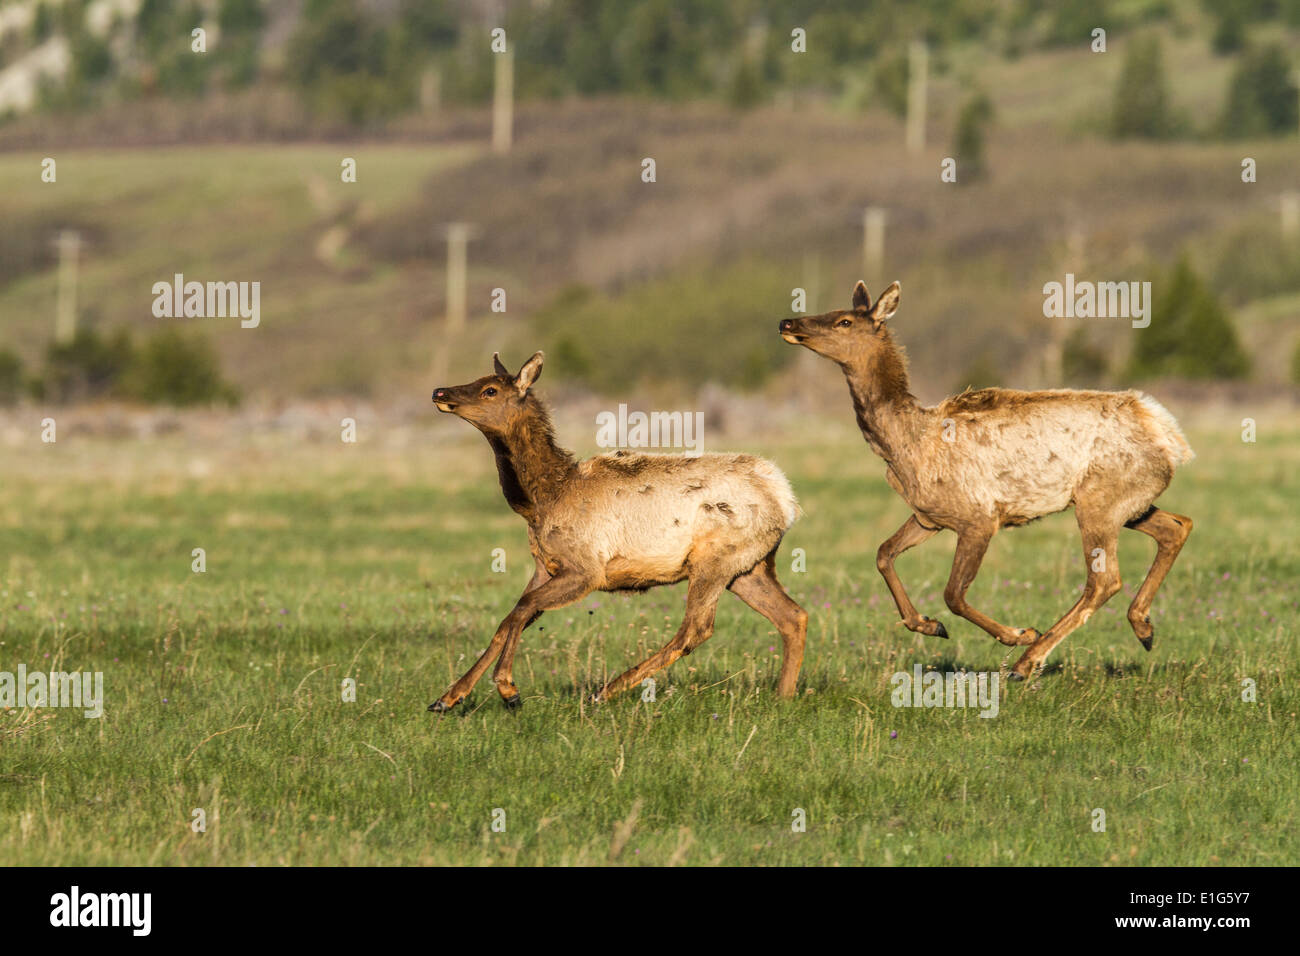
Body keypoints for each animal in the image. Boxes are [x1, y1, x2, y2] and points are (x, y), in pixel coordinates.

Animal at [428, 351, 808, 712]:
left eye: (490, 390)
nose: (440, 391)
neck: (542, 501)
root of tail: (786, 499)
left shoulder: (586, 569)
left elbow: (522, 609)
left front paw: (508, 689)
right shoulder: (545, 566)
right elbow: (507, 621)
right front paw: (447, 698)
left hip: (716, 559)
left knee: (695, 629)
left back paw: (605, 691)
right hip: (748, 566)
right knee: (793, 615)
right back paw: (783, 696)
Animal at [779, 280, 1194, 681]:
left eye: (843, 321)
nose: (787, 322)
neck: (904, 445)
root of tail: (1170, 434)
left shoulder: (978, 516)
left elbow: (953, 594)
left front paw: (1018, 633)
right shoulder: (930, 516)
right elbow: (884, 553)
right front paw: (927, 624)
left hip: (1100, 500)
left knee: (1105, 580)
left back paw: (1027, 661)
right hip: (1126, 502)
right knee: (1177, 526)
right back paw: (1143, 626)